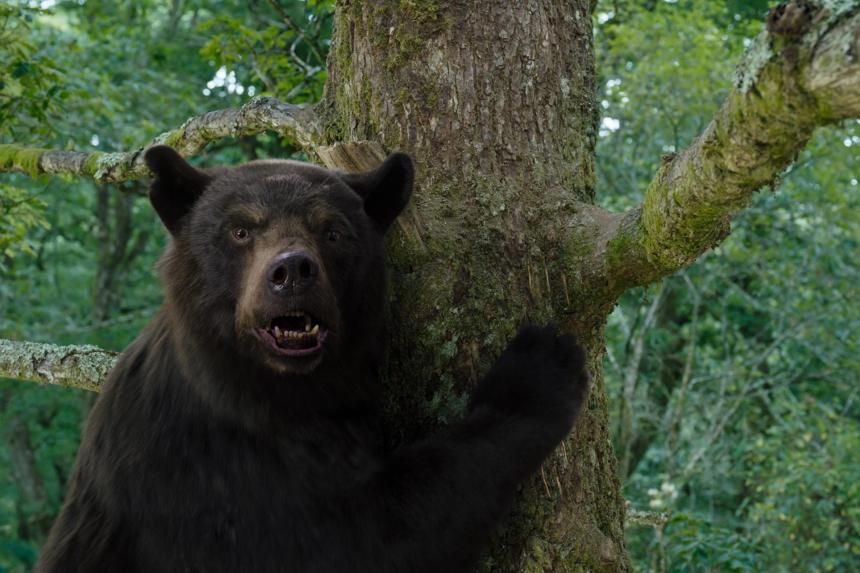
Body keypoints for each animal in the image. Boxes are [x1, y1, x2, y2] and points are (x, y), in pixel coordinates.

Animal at [36, 145, 589, 573]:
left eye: (333, 231)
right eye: (240, 230)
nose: (292, 271)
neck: (273, 392)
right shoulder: (208, 476)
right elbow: (363, 537)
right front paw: (537, 370)